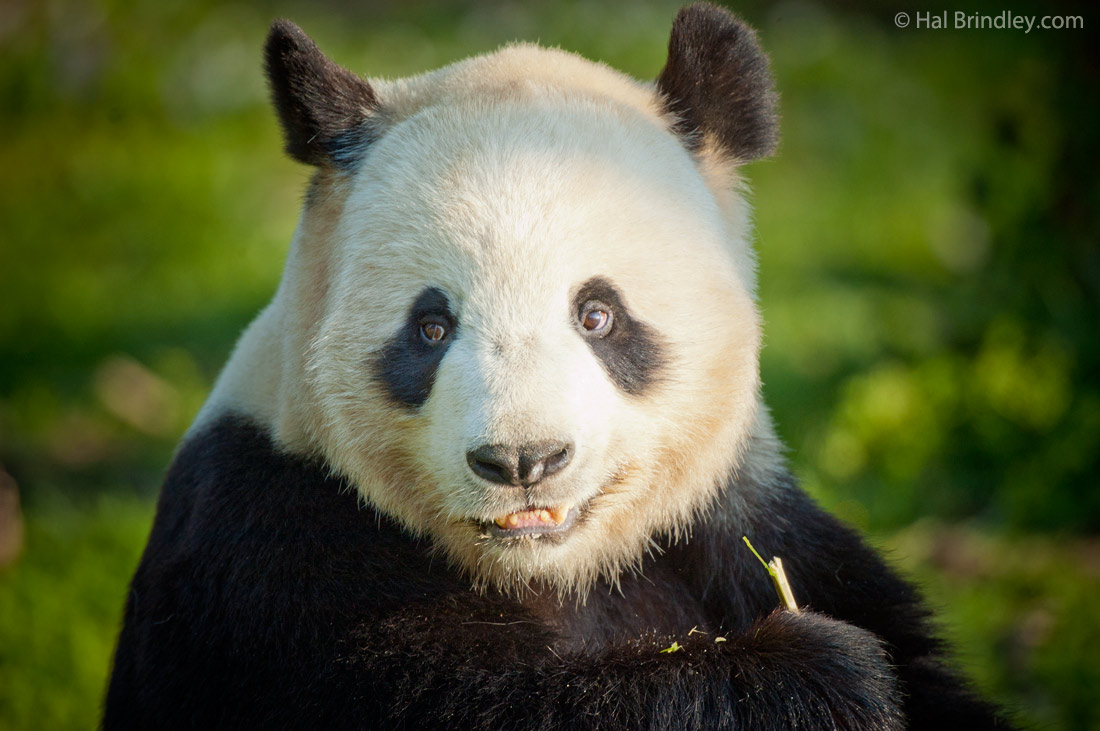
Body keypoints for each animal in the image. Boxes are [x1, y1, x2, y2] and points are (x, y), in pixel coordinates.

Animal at [104, 4, 1012, 729]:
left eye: (597, 314)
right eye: (431, 326)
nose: (521, 461)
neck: (550, 572)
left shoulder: (737, 522)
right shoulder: (268, 559)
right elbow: (479, 696)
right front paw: (816, 674)